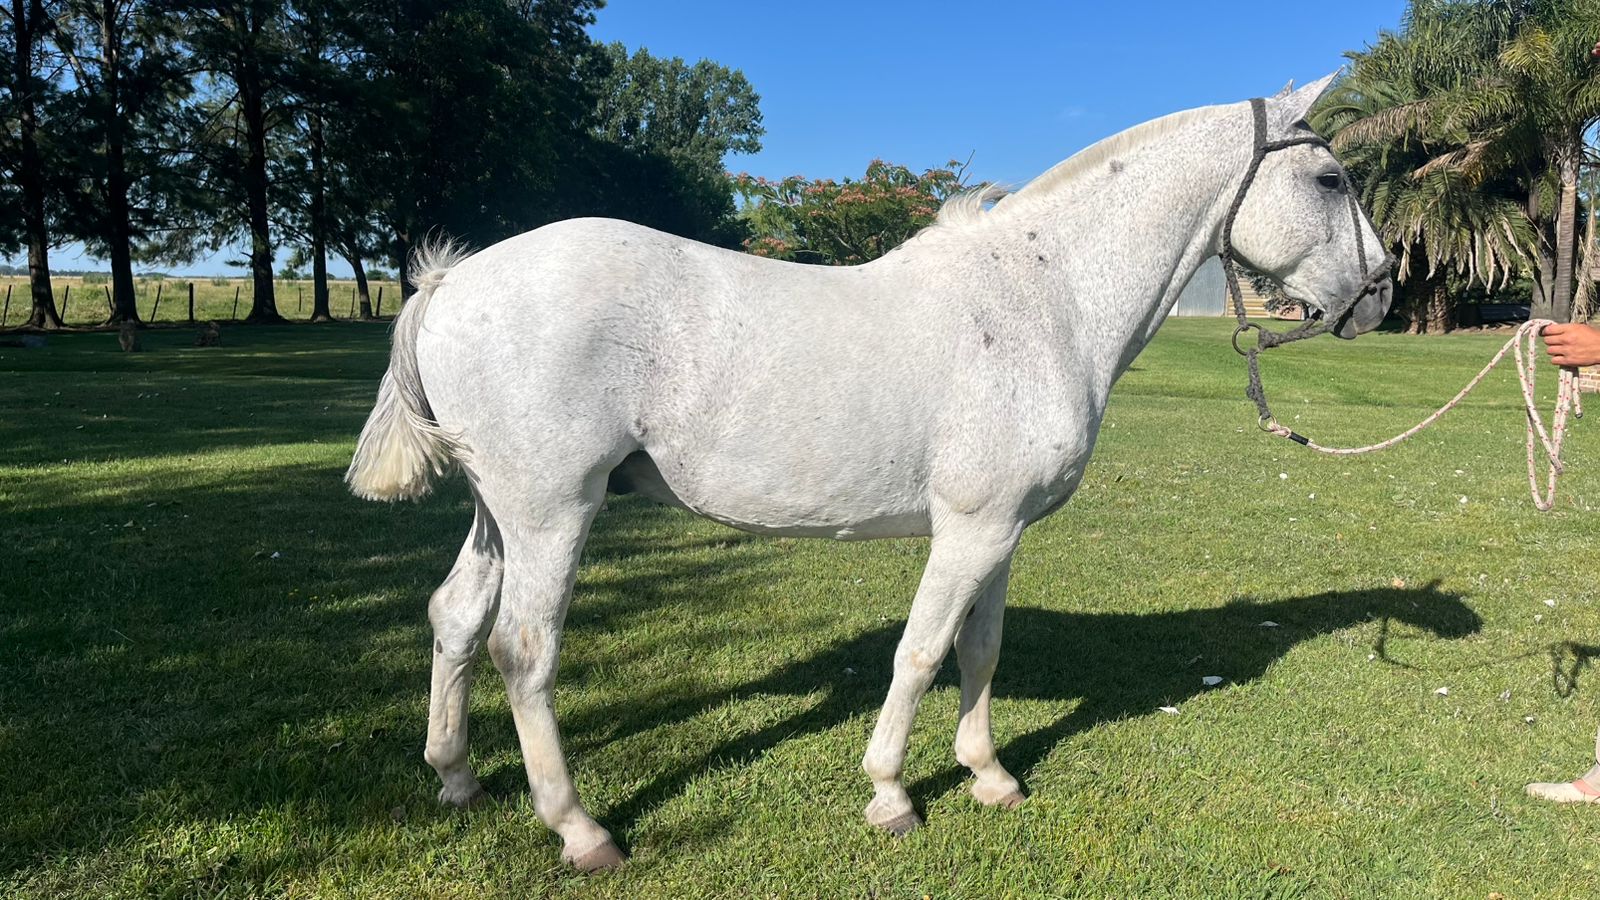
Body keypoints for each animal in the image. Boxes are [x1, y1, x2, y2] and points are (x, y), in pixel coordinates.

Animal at [346, 74, 1393, 872]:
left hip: (499, 514)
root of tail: (452, 280)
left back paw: (456, 778)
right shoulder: (969, 529)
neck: (1041, 297)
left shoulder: (1002, 533)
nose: (1381, 294)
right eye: (1331, 177)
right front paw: (892, 793)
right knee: (524, 650)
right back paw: (580, 830)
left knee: (455, 618)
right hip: (552, 512)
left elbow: (980, 652)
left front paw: (989, 776)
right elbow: (921, 654)